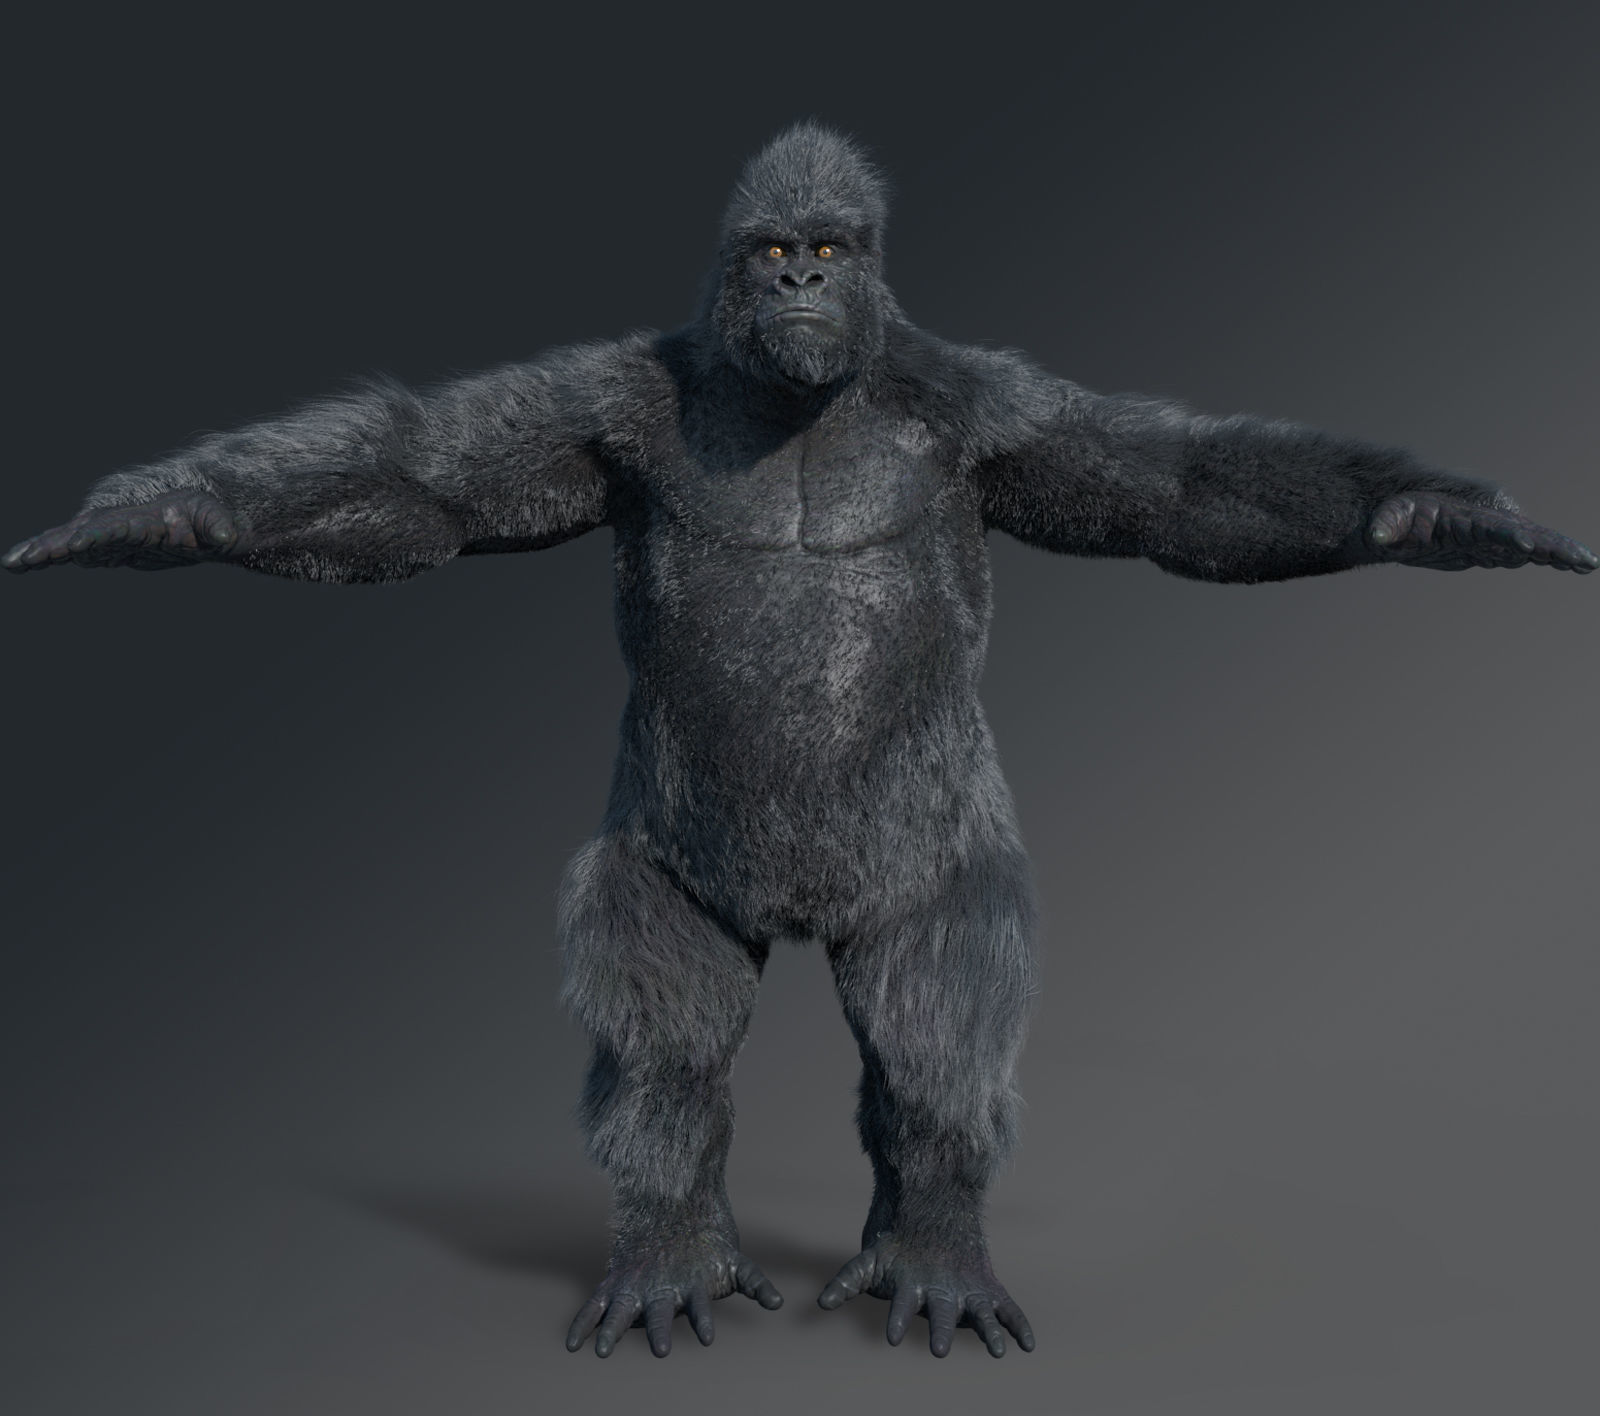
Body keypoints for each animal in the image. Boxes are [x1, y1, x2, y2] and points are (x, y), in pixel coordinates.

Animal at [5, 122, 1593, 1361]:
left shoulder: (1002, 413)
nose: (808, 280)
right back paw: (673, 1244)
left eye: (829, 243)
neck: (801, 396)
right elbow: (411, 484)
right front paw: (157, 516)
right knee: (669, 1029)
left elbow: (1189, 488)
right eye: (771, 249)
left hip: (915, 881)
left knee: (932, 1014)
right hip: (685, 887)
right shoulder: (596, 407)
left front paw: (1440, 513)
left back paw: (930, 1240)